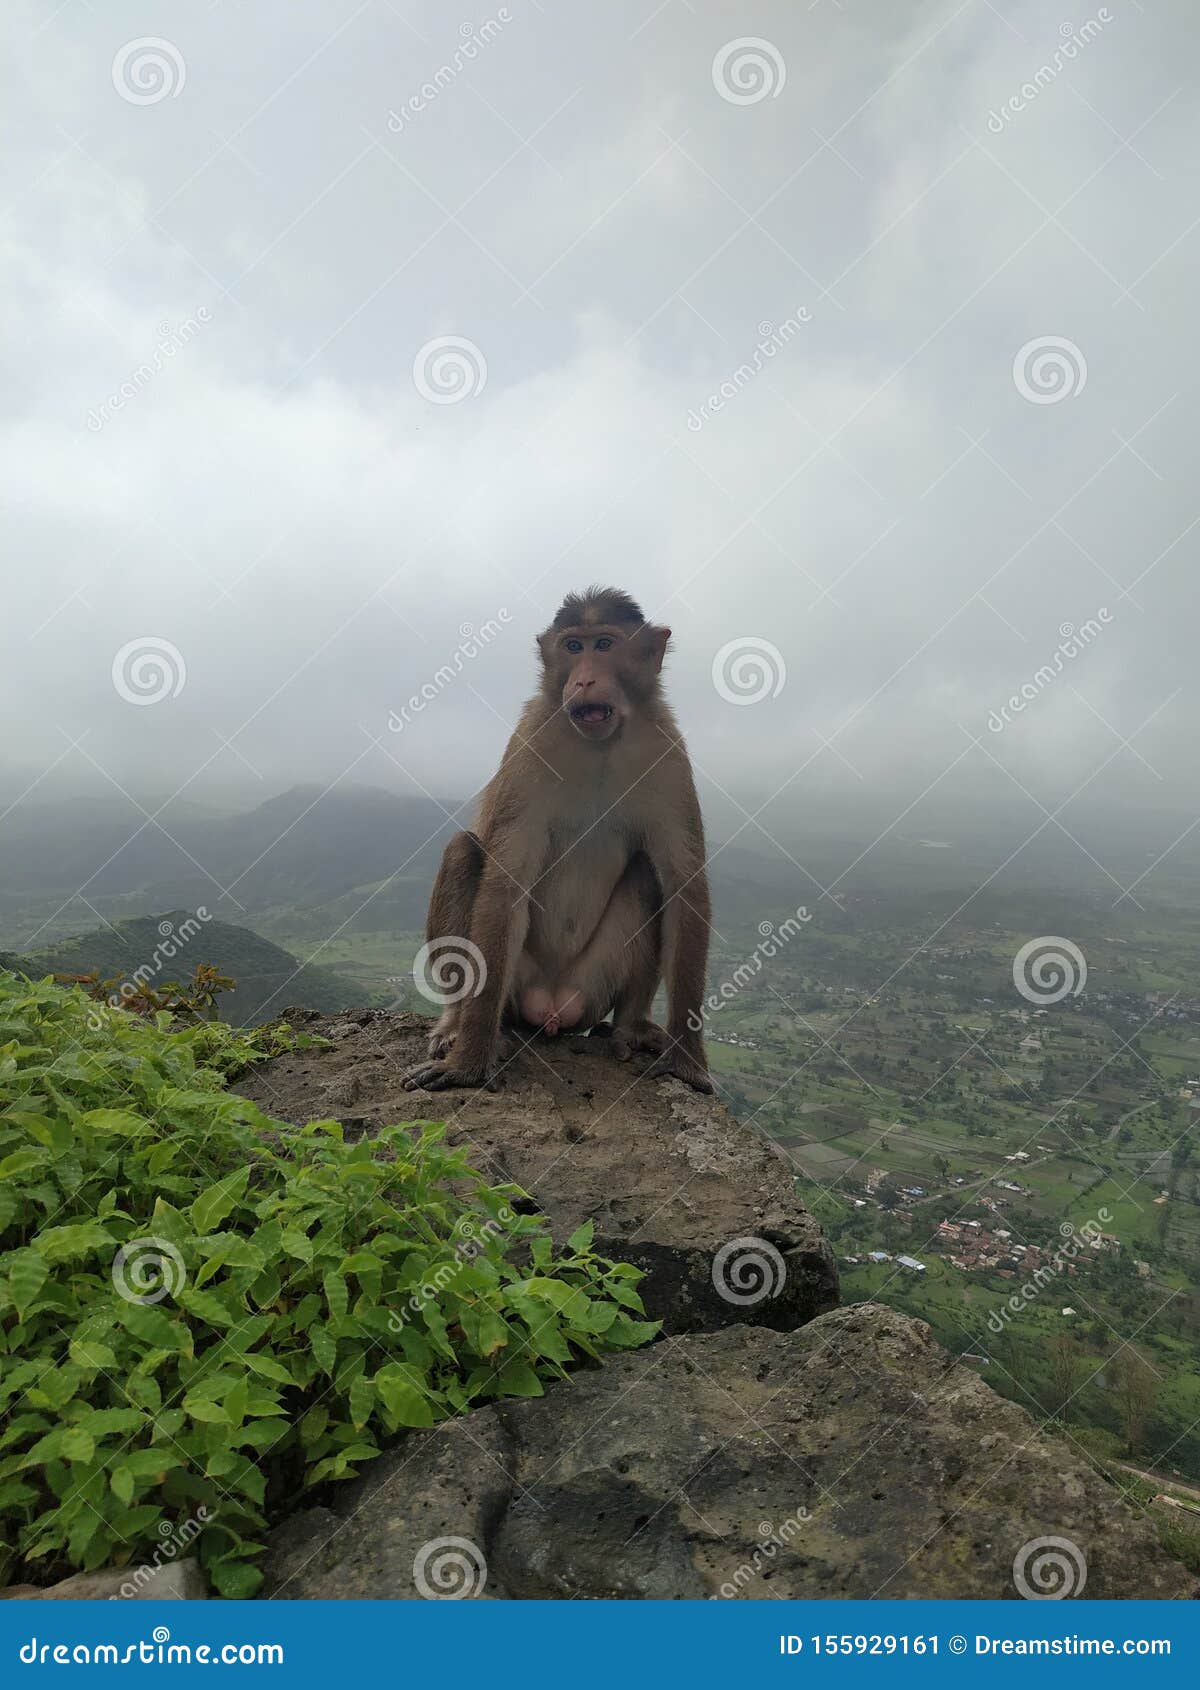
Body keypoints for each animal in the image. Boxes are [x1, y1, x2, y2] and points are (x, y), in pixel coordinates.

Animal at [402, 586, 713, 1095]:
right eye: (572, 646)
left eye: (604, 644)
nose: (583, 680)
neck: (599, 744)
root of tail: (549, 1006)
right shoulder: (531, 742)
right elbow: (505, 880)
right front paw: (469, 1063)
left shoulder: (667, 751)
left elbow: (683, 885)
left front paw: (686, 1061)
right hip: (516, 983)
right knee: (464, 851)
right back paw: (459, 1024)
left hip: (591, 987)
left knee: (648, 875)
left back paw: (628, 1027)